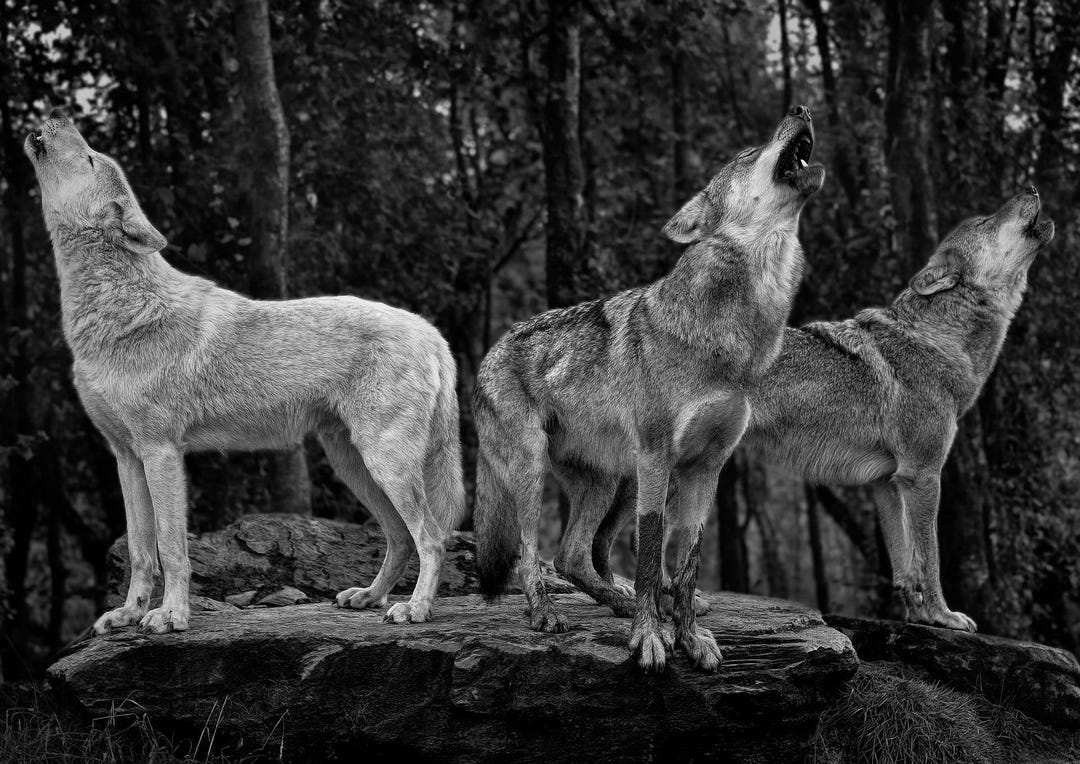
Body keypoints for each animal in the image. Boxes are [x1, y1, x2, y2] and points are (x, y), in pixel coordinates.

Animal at [25, 110, 465, 634]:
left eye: (91, 157)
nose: (57, 115)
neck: (117, 310)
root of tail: (431, 331)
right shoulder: (126, 458)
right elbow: (140, 550)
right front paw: (129, 613)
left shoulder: (161, 453)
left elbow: (172, 549)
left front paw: (171, 616)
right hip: (354, 466)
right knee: (399, 537)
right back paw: (369, 597)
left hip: (385, 463)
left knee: (431, 537)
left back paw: (415, 609)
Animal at [473, 106, 825, 672]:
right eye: (749, 152)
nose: (800, 108)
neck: (736, 337)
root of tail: (490, 351)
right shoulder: (659, 455)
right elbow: (650, 552)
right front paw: (649, 637)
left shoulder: (707, 467)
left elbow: (687, 559)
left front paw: (687, 635)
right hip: (537, 471)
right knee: (532, 555)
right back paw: (546, 614)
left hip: (613, 481)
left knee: (572, 556)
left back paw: (616, 604)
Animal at [585, 188, 1054, 633]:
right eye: (986, 220)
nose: (1032, 188)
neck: (936, 342)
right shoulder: (922, 476)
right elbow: (930, 560)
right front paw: (944, 616)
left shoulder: (887, 483)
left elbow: (904, 565)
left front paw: (918, 616)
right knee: (636, 538)